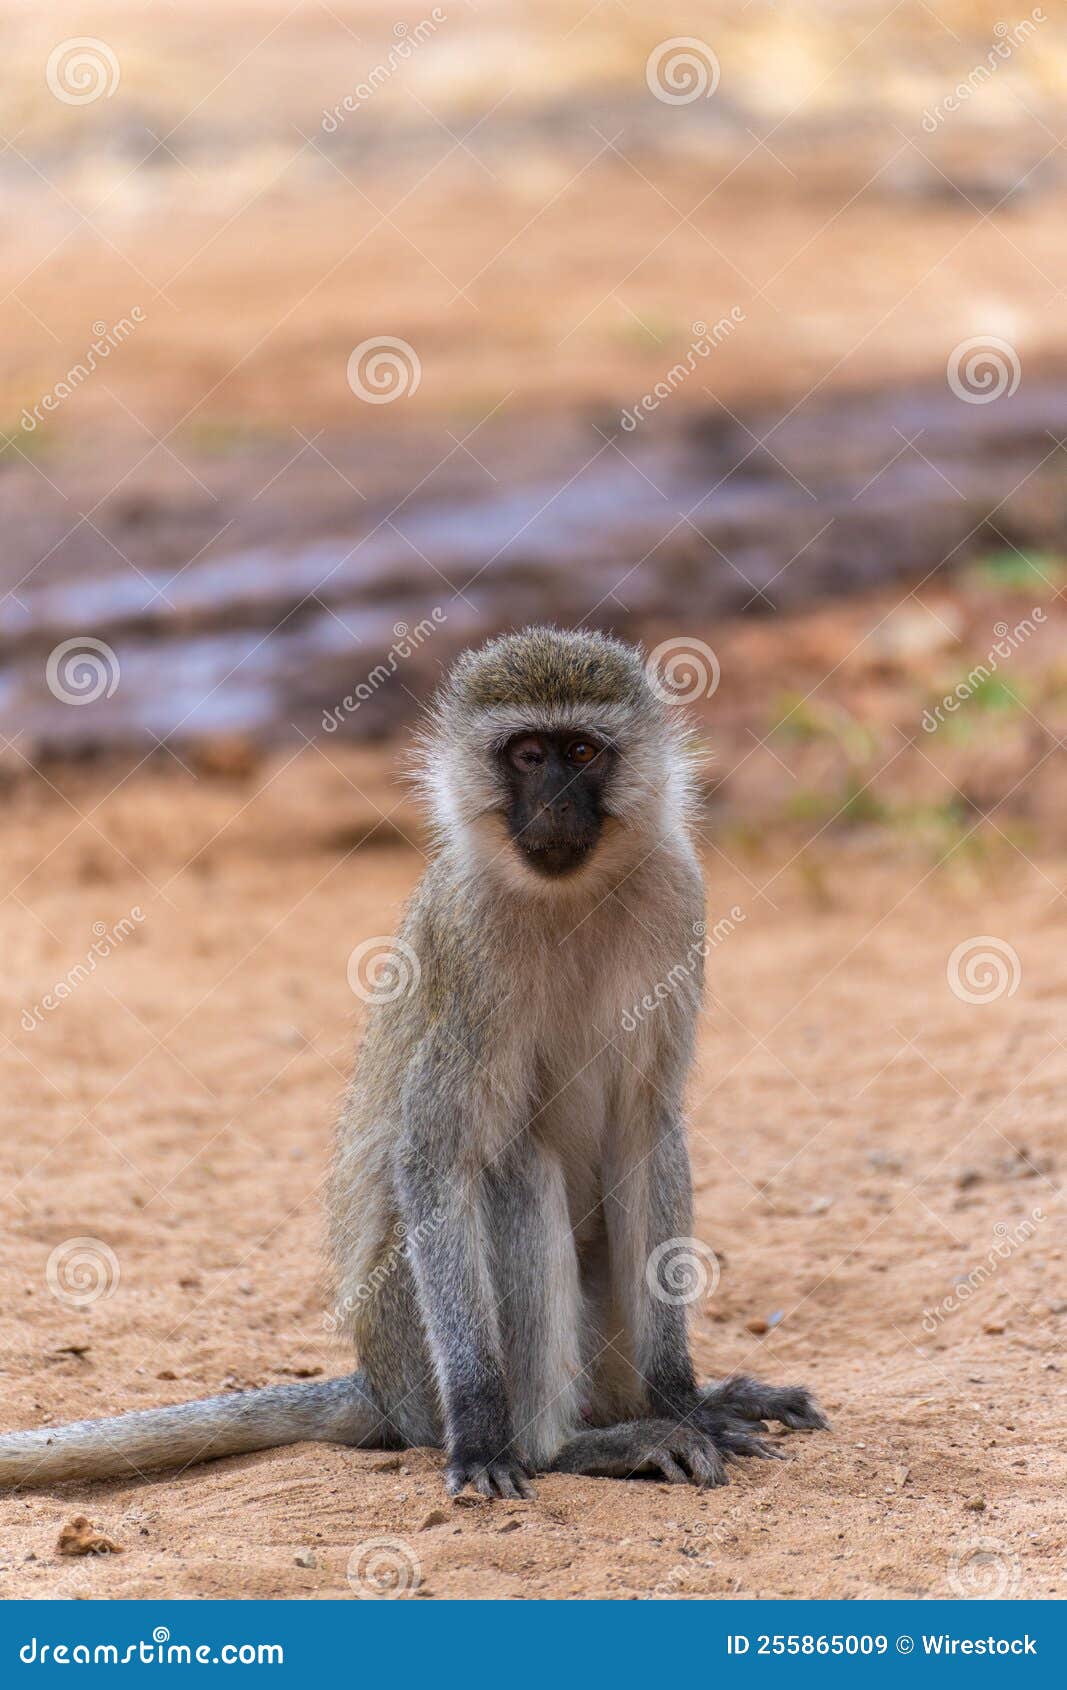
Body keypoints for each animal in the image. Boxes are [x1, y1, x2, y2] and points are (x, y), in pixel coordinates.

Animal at [0, 626, 826, 1497]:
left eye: (580, 750)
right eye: (527, 755)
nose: (556, 806)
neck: (569, 897)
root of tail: (380, 1385)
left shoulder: (677, 895)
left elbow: (644, 1130)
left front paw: (684, 1395)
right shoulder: (470, 951)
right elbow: (438, 1154)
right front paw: (486, 1428)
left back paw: (669, 1406)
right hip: (408, 1343)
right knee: (514, 1167)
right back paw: (568, 1446)